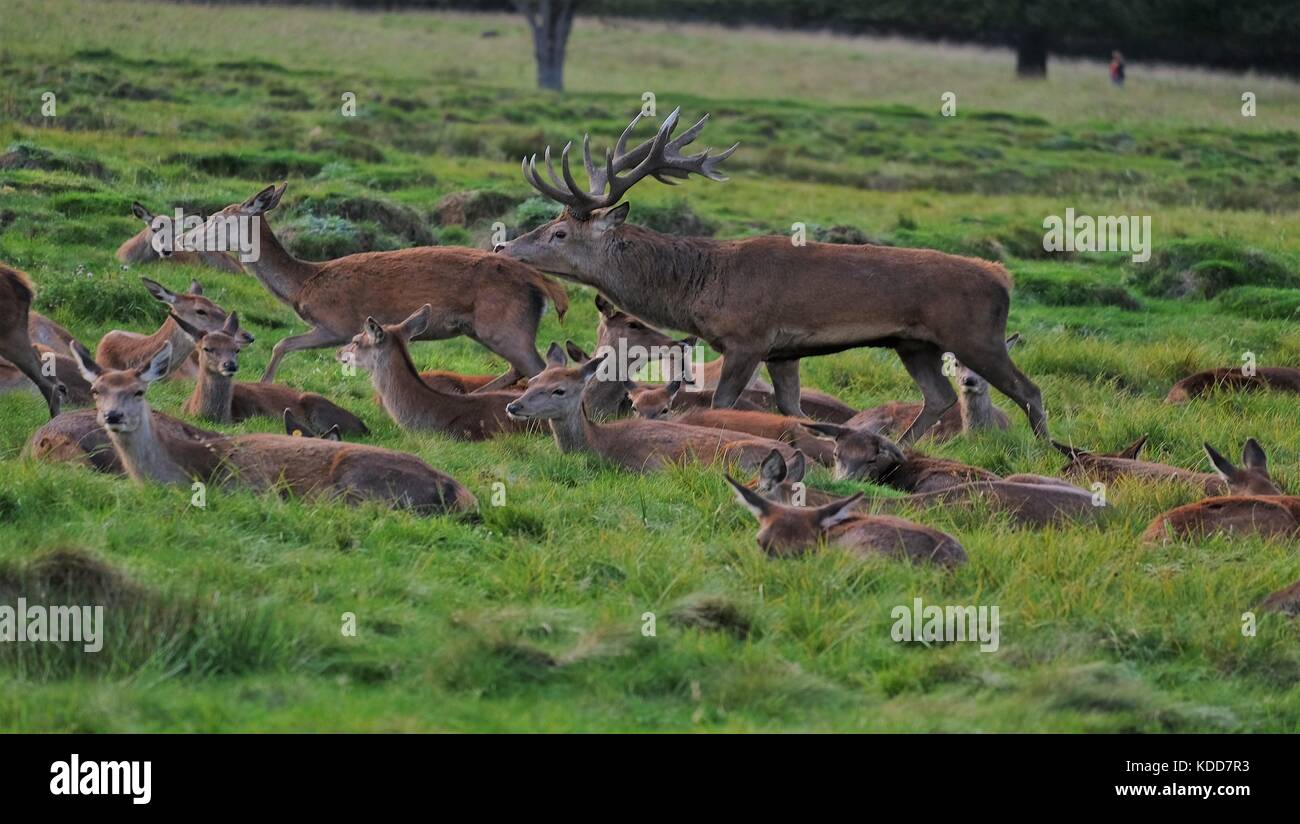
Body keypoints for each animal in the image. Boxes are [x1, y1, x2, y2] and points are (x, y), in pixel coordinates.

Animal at [69, 341, 477, 514]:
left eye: (139, 390)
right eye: (96, 390)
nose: (112, 416)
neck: (191, 470)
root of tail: (457, 489)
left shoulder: (246, 486)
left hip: (357, 485)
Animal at [183, 183, 569, 388]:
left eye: (217, 218)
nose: (184, 237)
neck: (303, 286)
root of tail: (541, 282)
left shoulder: (336, 323)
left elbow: (282, 343)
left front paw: (263, 384)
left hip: (504, 325)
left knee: (537, 368)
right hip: (492, 329)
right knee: (520, 369)